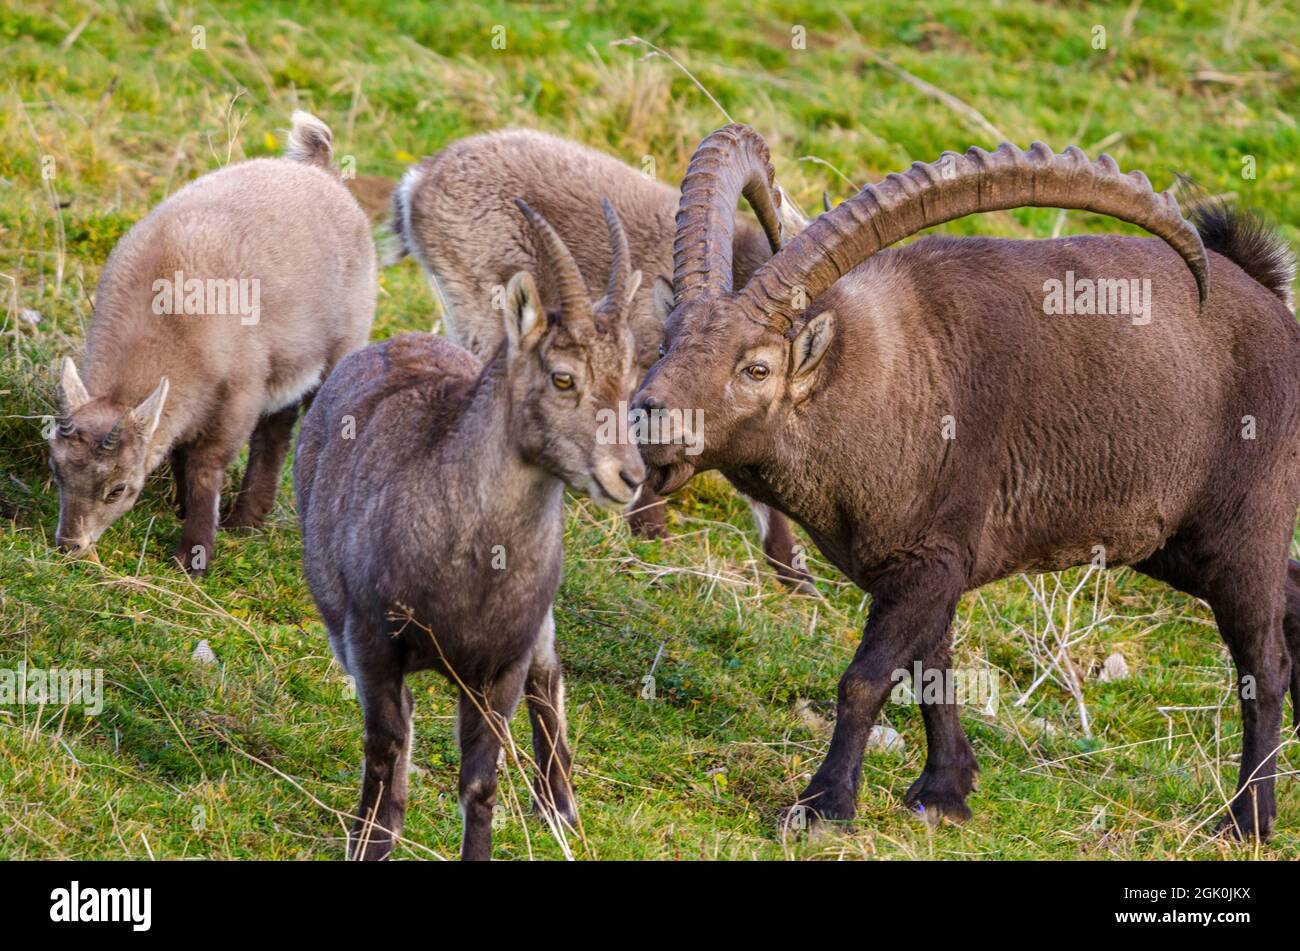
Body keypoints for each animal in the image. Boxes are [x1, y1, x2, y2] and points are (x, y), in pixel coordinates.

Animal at [48, 112, 375, 573]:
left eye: (118, 488)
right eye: (57, 472)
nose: (70, 545)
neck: (167, 320)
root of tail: (321, 171)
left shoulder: (238, 393)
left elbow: (207, 464)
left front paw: (193, 554)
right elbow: (182, 452)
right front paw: (184, 508)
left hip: (342, 345)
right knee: (277, 429)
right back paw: (248, 518)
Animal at [295, 199, 646, 860]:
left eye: (631, 378)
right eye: (563, 377)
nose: (630, 476)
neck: (475, 557)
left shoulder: (498, 665)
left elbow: (481, 780)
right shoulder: (371, 639)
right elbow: (383, 743)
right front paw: (369, 840)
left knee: (547, 676)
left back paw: (560, 808)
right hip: (342, 627)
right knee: (404, 716)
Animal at [635, 125, 1300, 839]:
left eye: (756, 368)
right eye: (666, 340)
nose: (647, 414)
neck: (886, 383)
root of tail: (1275, 305)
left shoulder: (929, 558)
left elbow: (866, 679)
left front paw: (825, 806)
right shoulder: (928, 567)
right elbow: (932, 670)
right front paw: (945, 791)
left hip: (1241, 535)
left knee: (1265, 665)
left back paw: (1248, 818)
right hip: (1173, 547)